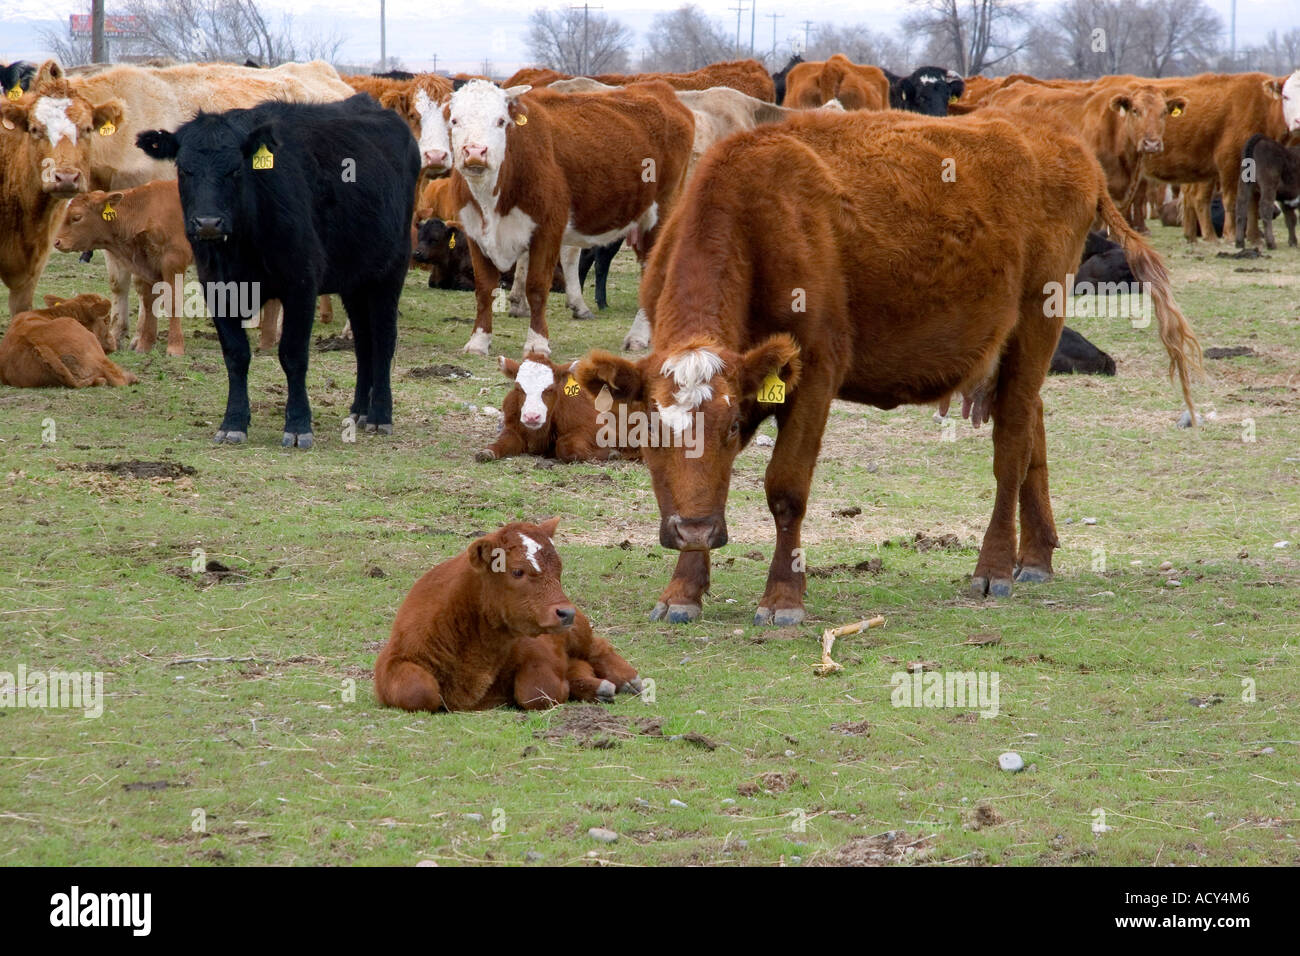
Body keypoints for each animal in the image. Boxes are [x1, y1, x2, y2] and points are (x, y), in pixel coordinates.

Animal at [136, 94, 419, 448]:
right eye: (184, 169)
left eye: (235, 169)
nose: (208, 223)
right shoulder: (216, 287)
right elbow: (236, 355)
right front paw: (234, 421)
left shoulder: (301, 285)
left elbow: (293, 354)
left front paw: (298, 425)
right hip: (355, 280)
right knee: (364, 340)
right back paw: (360, 410)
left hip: (389, 272)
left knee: (382, 337)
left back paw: (380, 414)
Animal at [374, 518, 641, 712]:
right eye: (517, 571)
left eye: (559, 569)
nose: (566, 612)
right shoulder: (393, 661)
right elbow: (419, 691)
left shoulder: (539, 651)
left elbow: (536, 691)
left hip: (579, 631)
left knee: (597, 646)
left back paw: (626, 679)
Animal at [444, 79, 694, 358]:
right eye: (455, 121)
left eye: (500, 121)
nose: (475, 152)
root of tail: (657, 87)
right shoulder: (476, 233)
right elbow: (484, 289)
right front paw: (478, 341)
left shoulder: (548, 230)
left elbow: (537, 287)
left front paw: (537, 343)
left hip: (662, 212)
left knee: (653, 269)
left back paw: (638, 336)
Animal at [477, 353, 642, 463]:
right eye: (518, 388)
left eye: (550, 389)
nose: (532, 416)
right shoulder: (514, 429)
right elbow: (503, 442)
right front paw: (487, 452)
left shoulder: (597, 430)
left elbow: (566, 448)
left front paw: (611, 453)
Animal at [574, 108, 1203, 625]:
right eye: (648, 431)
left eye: (731, 427)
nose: (697, 530)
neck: (755, 214)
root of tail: (1065, 145)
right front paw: (683, 590)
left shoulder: (815, 377)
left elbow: (786, 489)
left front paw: (782, 598)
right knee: (1034, 433)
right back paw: (1037, 555)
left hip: (1037, 324)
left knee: (1013, 448)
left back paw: (996, 565)